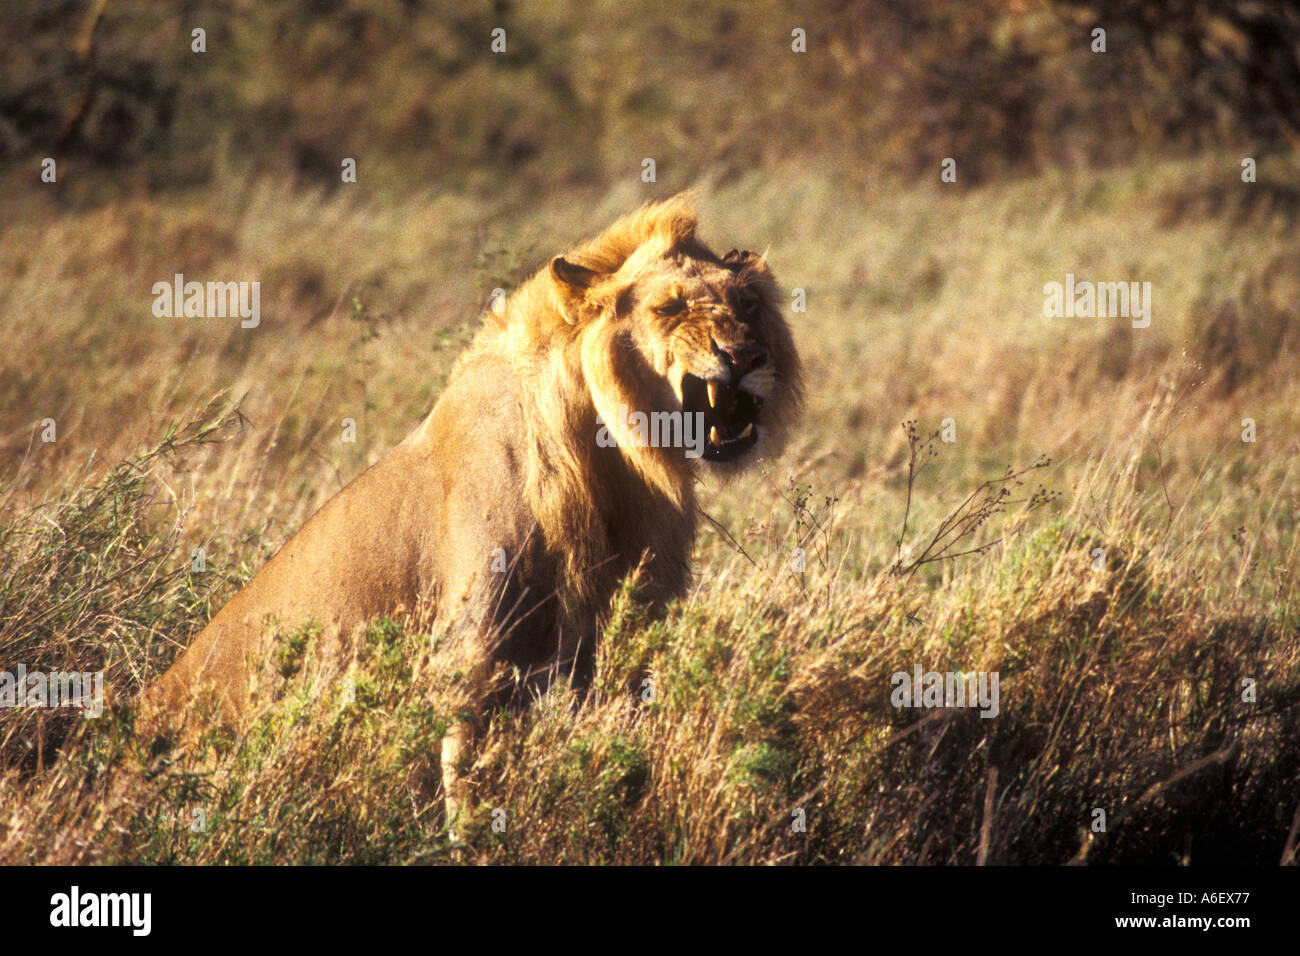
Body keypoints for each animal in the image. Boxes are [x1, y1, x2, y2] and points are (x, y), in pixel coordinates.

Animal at [135, 194, 803, 832]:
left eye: (747, 305)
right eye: (668, 308)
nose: (745, 355)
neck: (616, 459)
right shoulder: (473, 659)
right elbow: (474, 802)